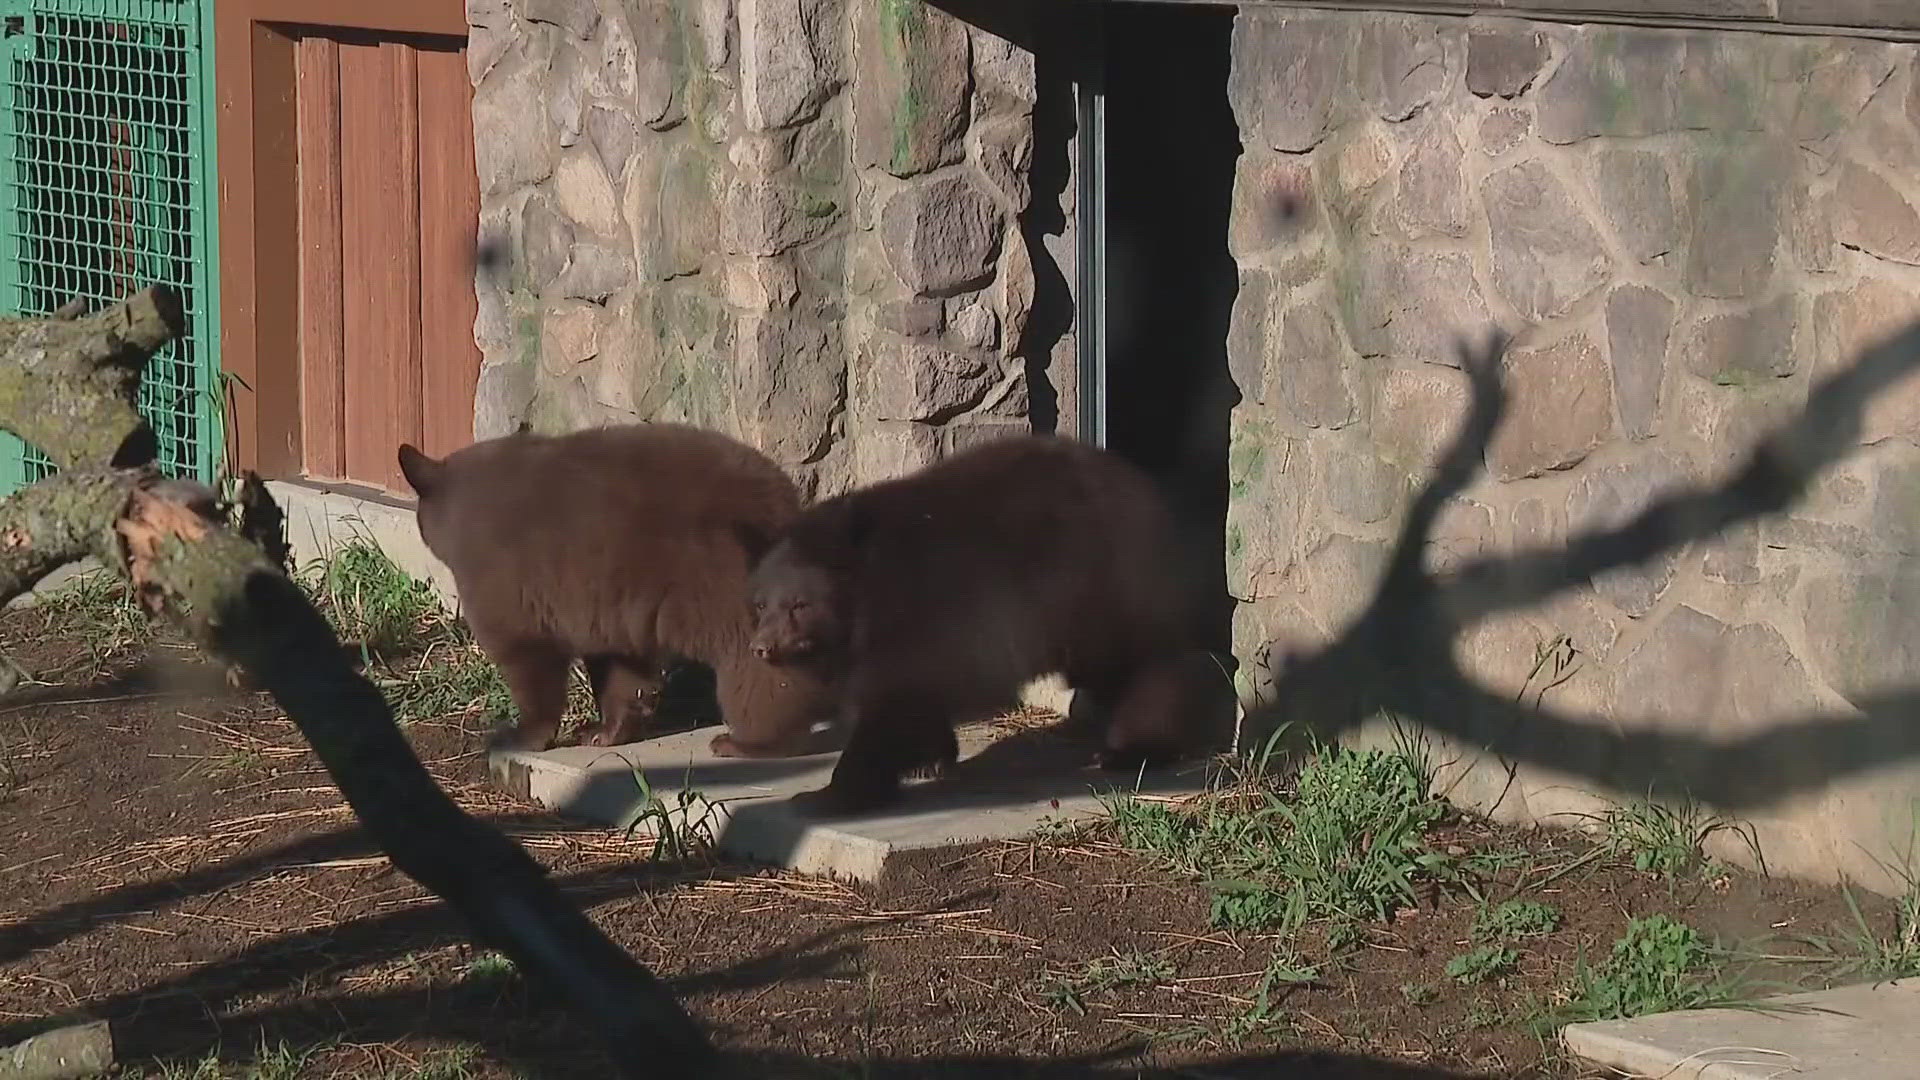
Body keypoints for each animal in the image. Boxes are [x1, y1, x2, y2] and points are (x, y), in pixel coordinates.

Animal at [397, 423, 839, 757]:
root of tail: (775, 501)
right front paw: (604, 731)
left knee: (754, 659)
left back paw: (752, 741)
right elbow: (621, 666)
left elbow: (528, 655)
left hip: (721, 576)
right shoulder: (608, 601)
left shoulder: (505, 580)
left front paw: (519, 734)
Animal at [745, 433, 1229, 815]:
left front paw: (825, 795)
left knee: (1146, 664)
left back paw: (1136, 747)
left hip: (1102, 588)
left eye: (799, 604)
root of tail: (1143, 485)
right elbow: (916, 706)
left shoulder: (910, 617)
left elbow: (887, 712)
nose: (763, 647)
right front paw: (930, 759)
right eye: (760, 604)